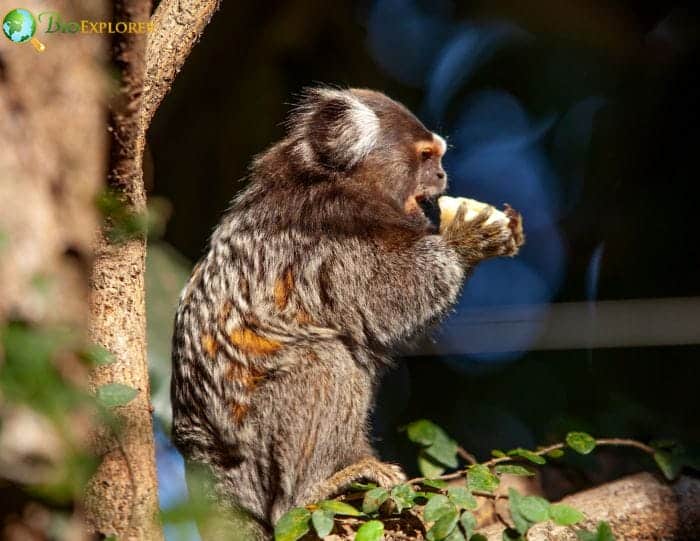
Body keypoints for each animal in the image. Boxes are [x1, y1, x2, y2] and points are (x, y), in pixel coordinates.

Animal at [170, 87, 524, 538]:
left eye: (439, 158)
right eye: (427, 156)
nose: (442, 176)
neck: (335, 183)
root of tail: (202, 458)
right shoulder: (324, 239)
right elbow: (389, 296)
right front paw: (465, 239)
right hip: (251, 452)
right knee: (326, 360)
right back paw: (317, 489)